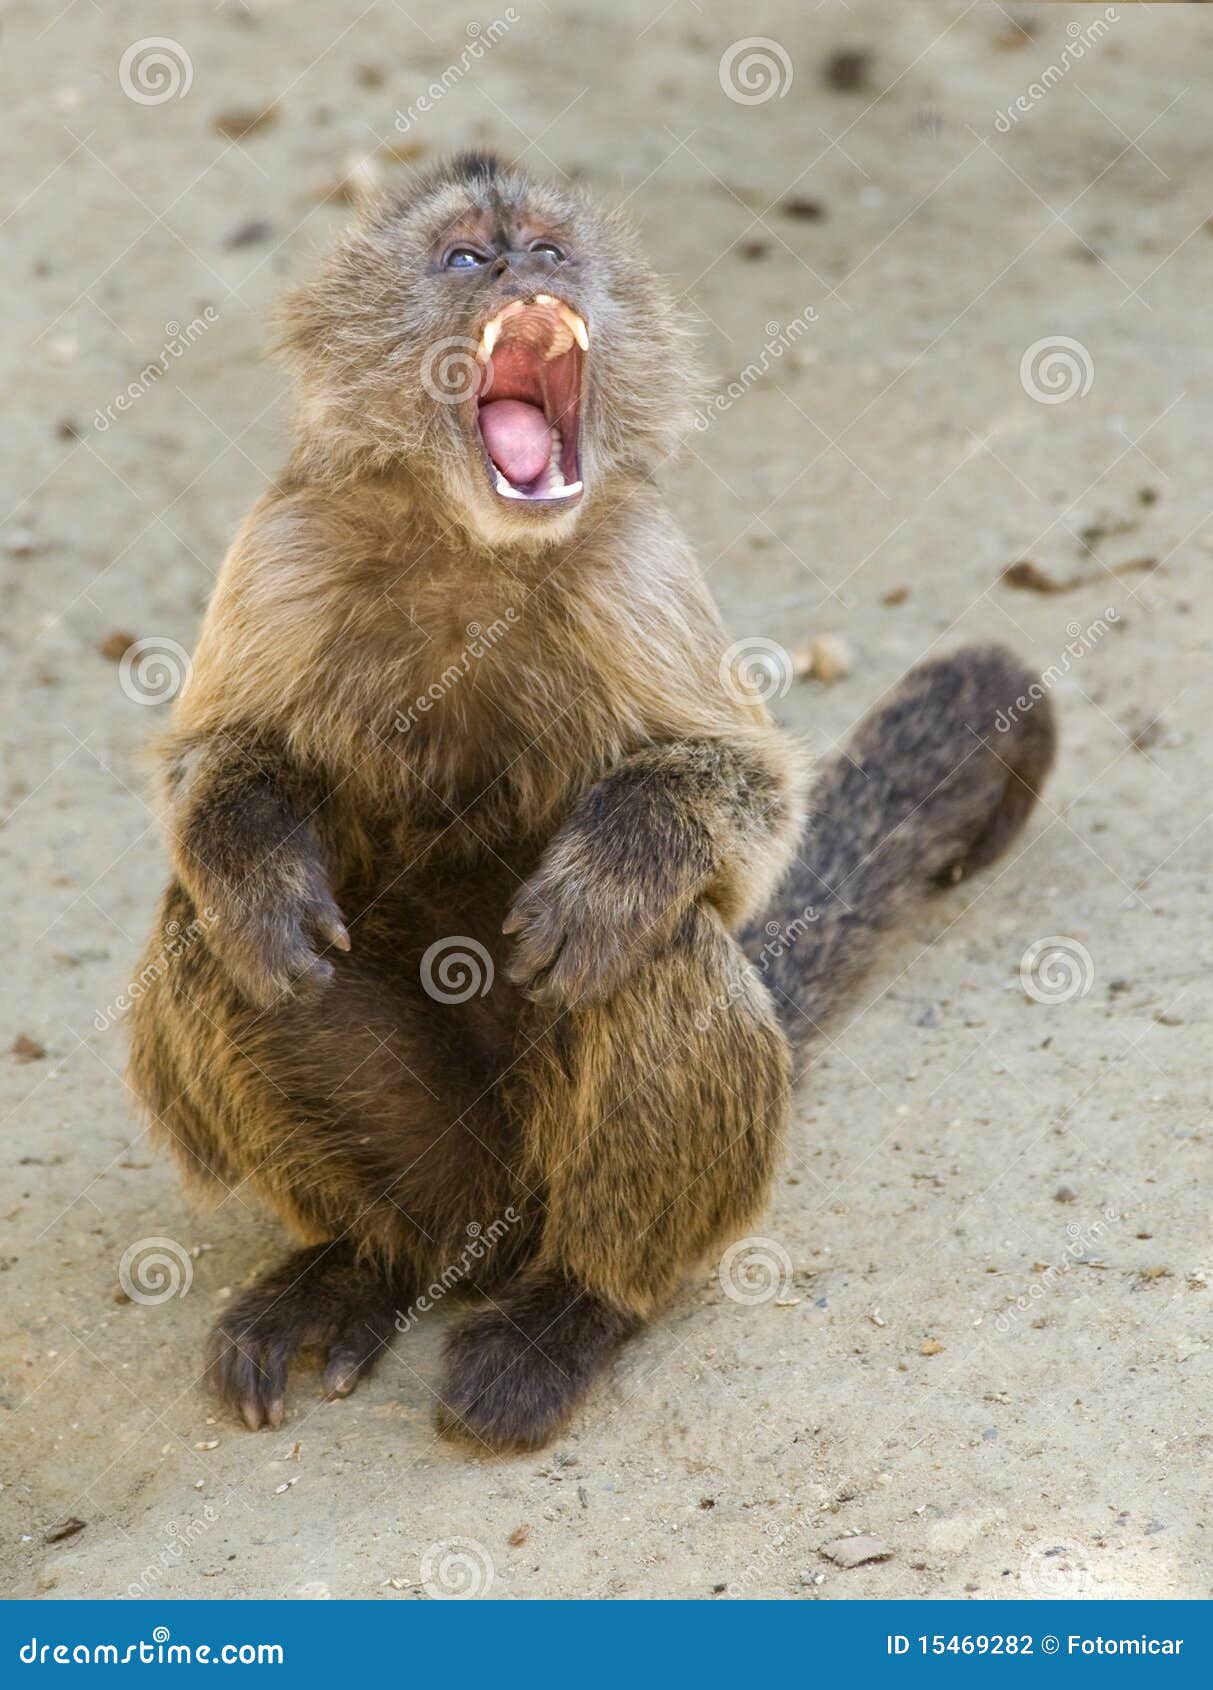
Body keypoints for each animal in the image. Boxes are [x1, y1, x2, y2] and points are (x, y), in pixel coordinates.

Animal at [126, 152, 1056, 1454]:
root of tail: (488, 1225)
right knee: (204, 943)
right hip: (443, 1157)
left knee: (665, 957)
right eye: (467, 256)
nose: (525, 268)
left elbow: (747, 805)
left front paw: (615, 872)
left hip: (548, 1169)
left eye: (551, 250)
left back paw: (577, 1306)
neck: (469, 539)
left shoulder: (636, 564)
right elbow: (210, 765)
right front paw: (258, 868)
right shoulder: (286, 545)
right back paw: (364, 1258)